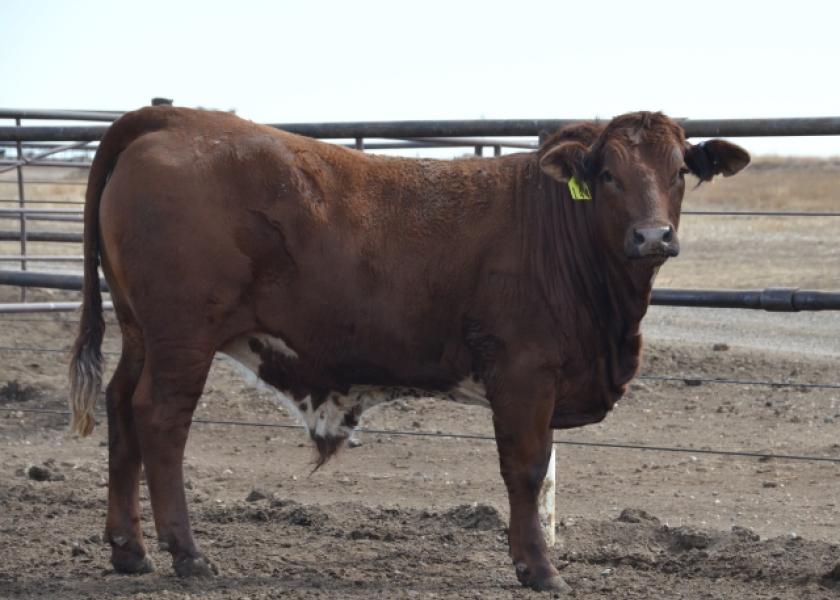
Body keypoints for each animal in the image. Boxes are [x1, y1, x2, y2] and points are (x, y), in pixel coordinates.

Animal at [69, 107, 749, 592]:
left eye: (679, 172)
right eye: (608, 174)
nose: (653, 236)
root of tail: (174, 118)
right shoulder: (524, 373)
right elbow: (525, 470)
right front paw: (539, 568)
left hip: (140, 331)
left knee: (121, 408)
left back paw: (129, 550)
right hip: (183, 336)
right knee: (160, 420)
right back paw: (187, 554)